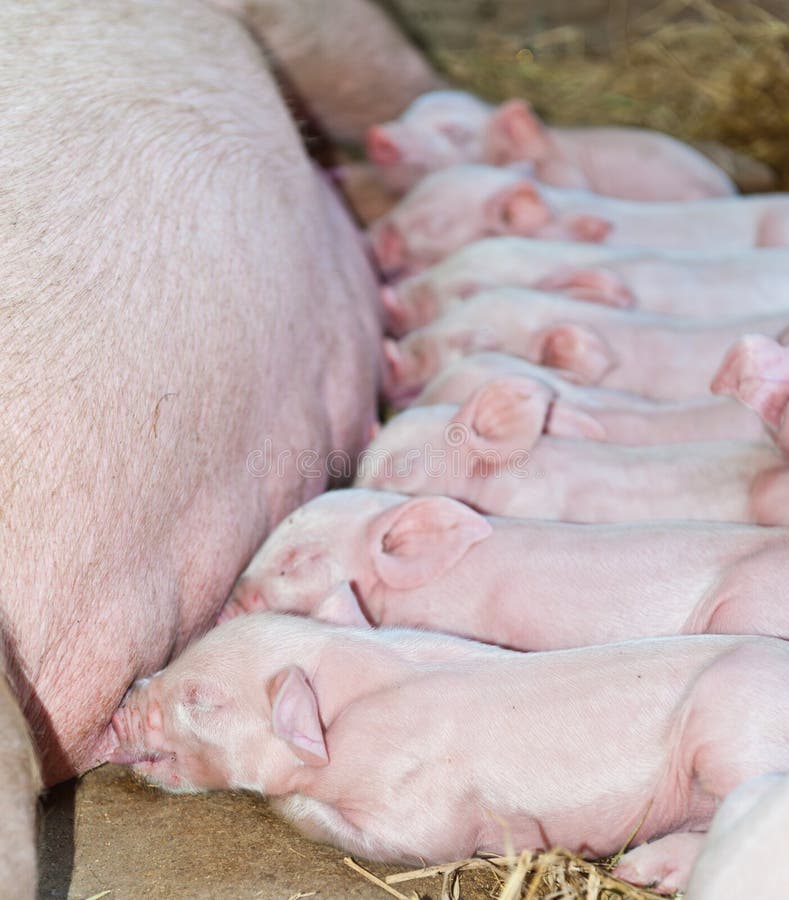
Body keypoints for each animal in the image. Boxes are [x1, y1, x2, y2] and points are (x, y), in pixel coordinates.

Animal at [104, 612, 789, 892]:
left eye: (201, 699)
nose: (117, 708)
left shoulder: (427, 819)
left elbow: (310, 811)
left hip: (730, 729)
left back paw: (642, 872)